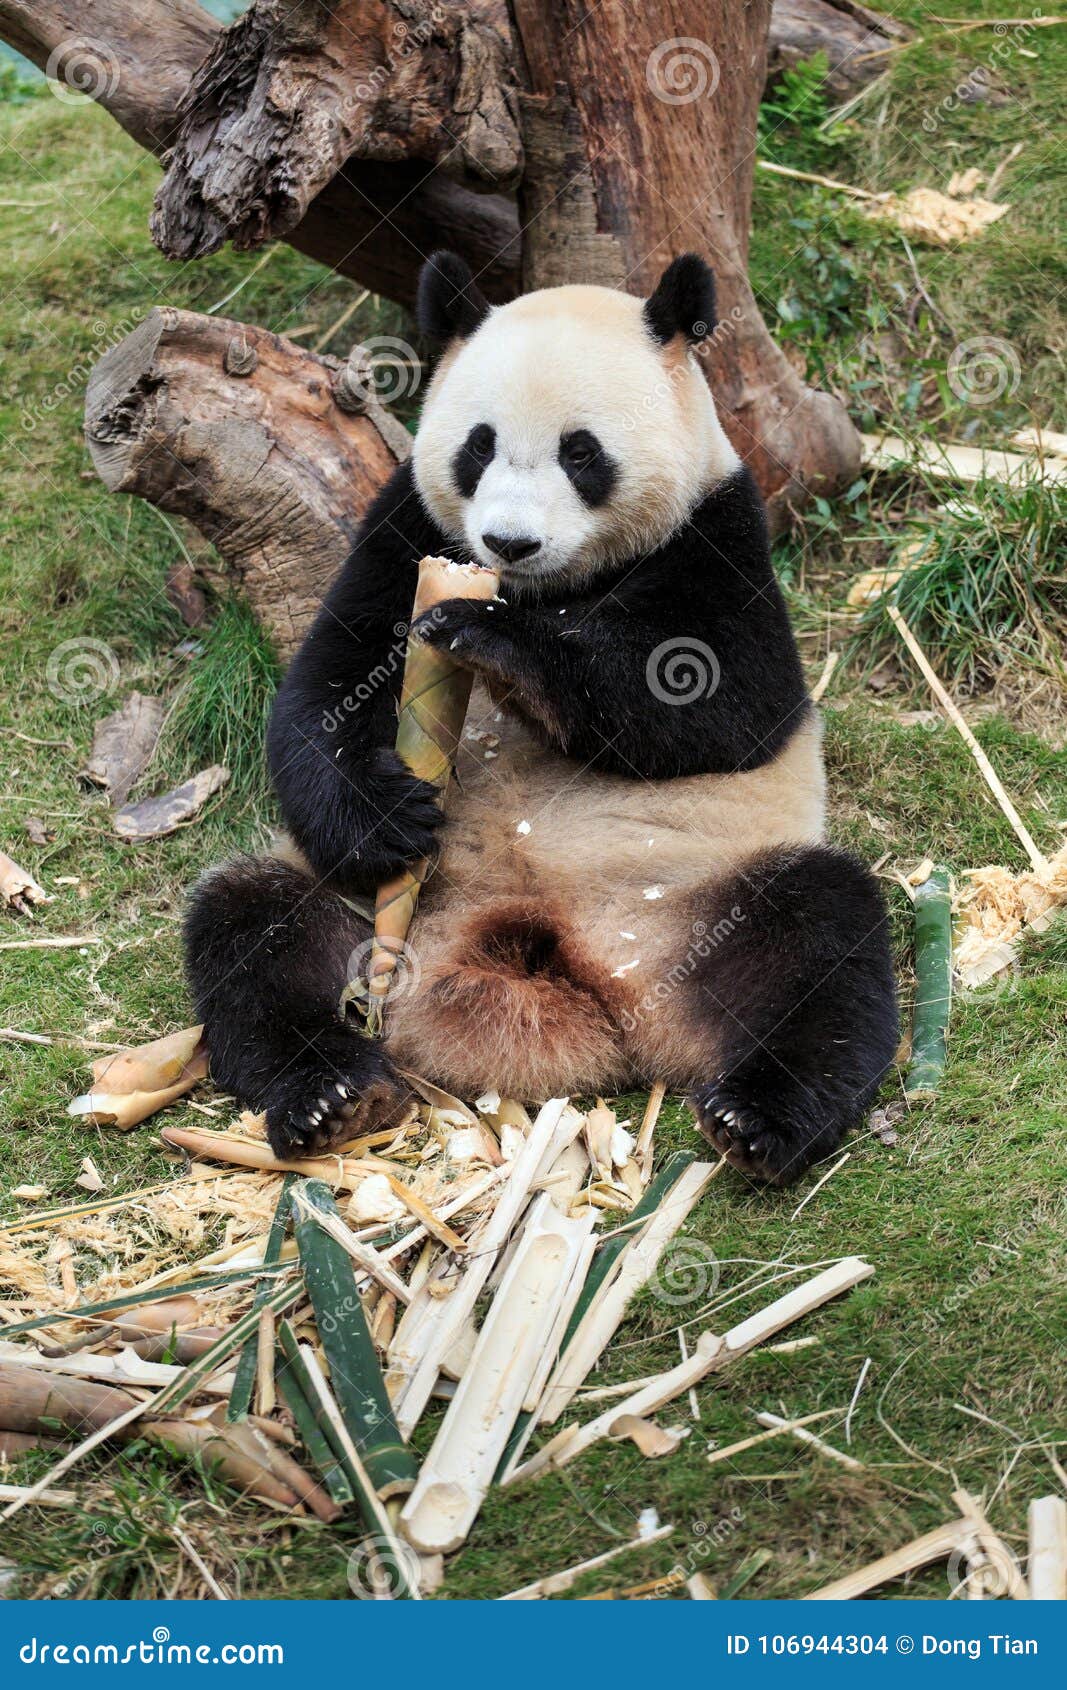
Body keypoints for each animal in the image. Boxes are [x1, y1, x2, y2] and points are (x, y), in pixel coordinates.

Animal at [184, 250, 899, 1187]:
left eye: (580, 452)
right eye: (478, 445)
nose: (507, 543)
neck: (549, 586)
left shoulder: (717, 530)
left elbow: (727, 699)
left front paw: (493, 640)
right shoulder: (406, 526)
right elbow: (326, 687)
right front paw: (387, 815)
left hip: (691, 900)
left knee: (821, 939)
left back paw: (759, 1118)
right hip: (366, 918)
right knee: (251, 927)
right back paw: (331, 1094)